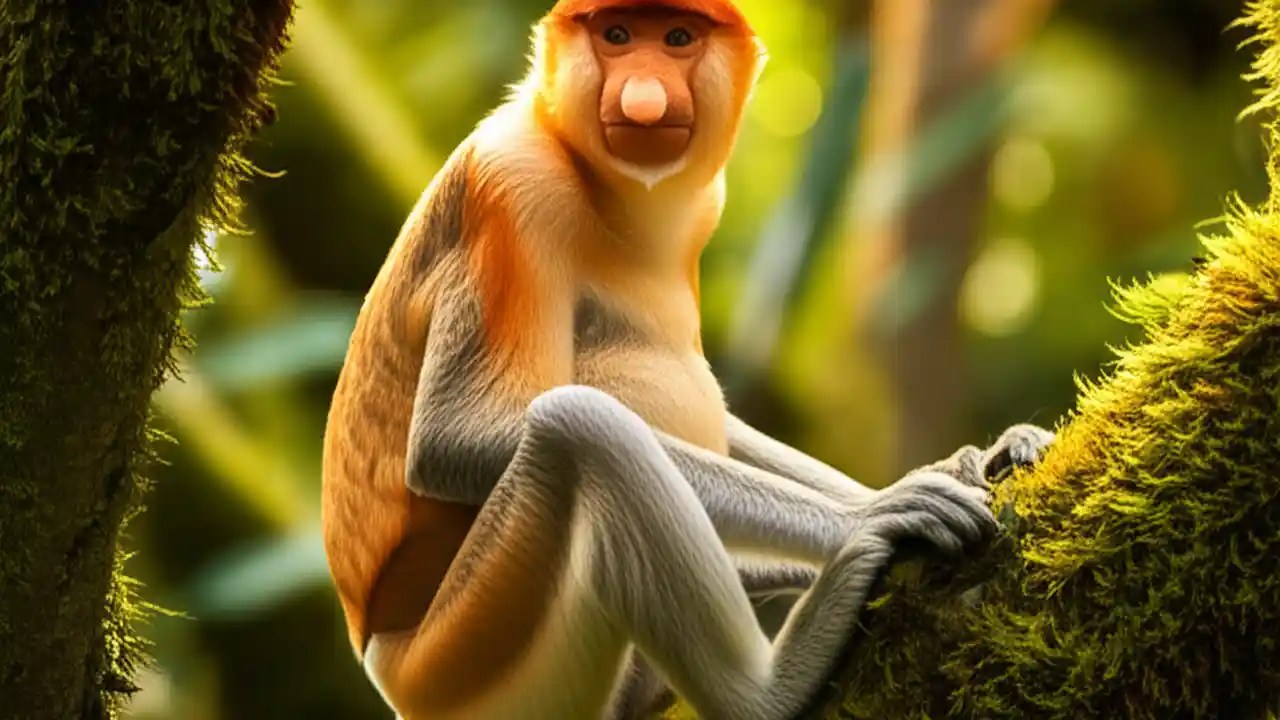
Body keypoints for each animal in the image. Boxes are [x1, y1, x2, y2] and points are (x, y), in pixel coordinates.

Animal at [320, 1, 1053, 719]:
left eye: (677, 39)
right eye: (616, 36)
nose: (645, 97)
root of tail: (380, 654)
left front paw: (971, 459)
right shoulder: (511, 186)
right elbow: (455, 439)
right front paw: (872, 513)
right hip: (472, 660)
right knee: (580, 428)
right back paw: (766, 690)